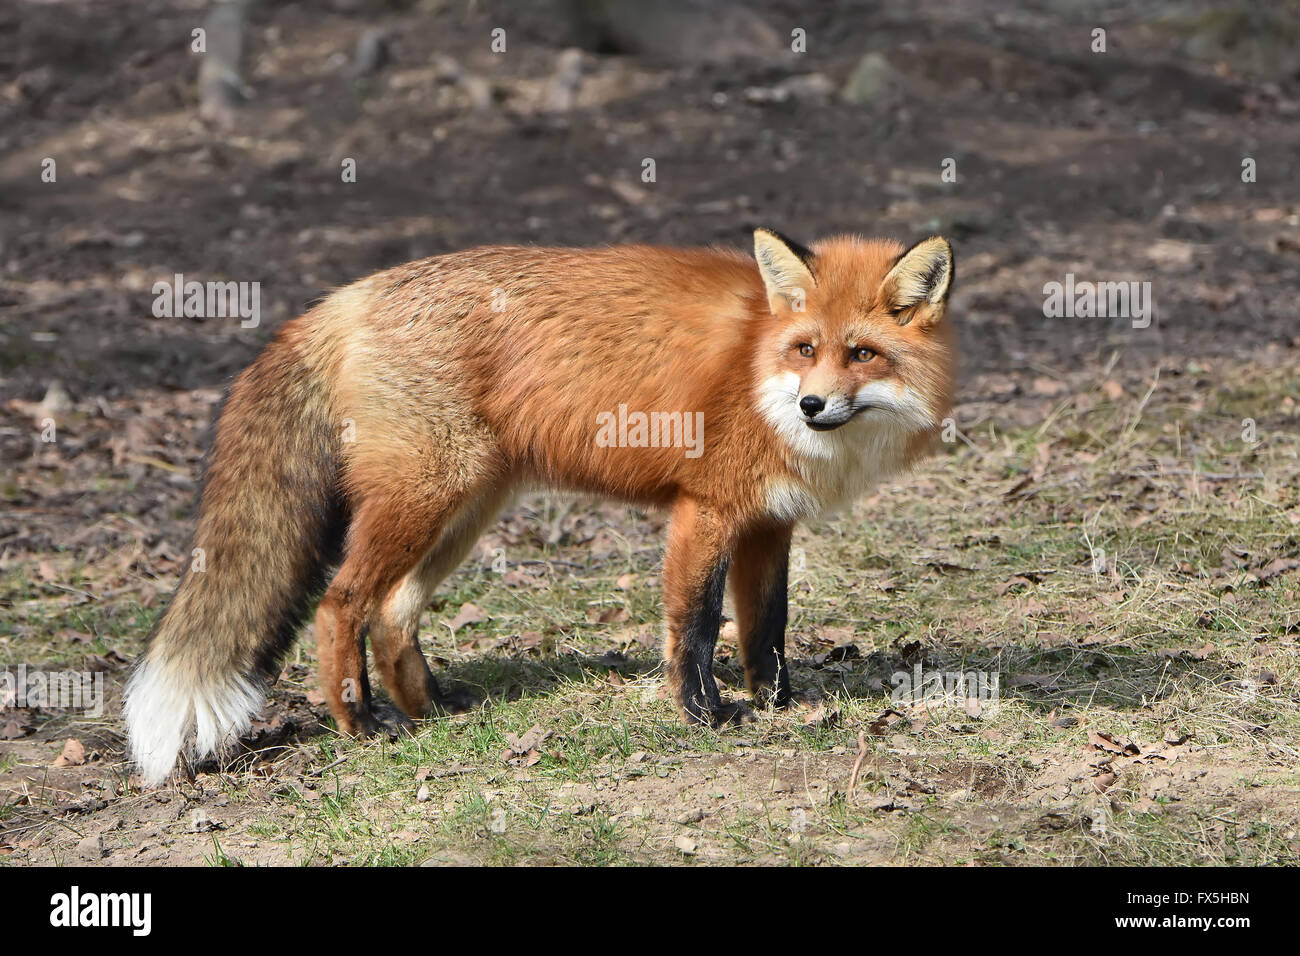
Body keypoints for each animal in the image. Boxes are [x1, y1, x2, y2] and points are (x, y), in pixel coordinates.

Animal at [124, 228, 956, 786]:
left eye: (861, 354)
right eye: (804, 349)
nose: (813, 405)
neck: (756, 366)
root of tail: (343, 300)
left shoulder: (768, 523)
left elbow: (766, 630)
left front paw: (780, 705)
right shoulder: (706, 510)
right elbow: (693, 627)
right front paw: (704, 714)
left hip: (464, 510)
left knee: (392, 613)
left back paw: (432, 710)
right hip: (425, 500)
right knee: (341, 604)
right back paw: (360, 724)